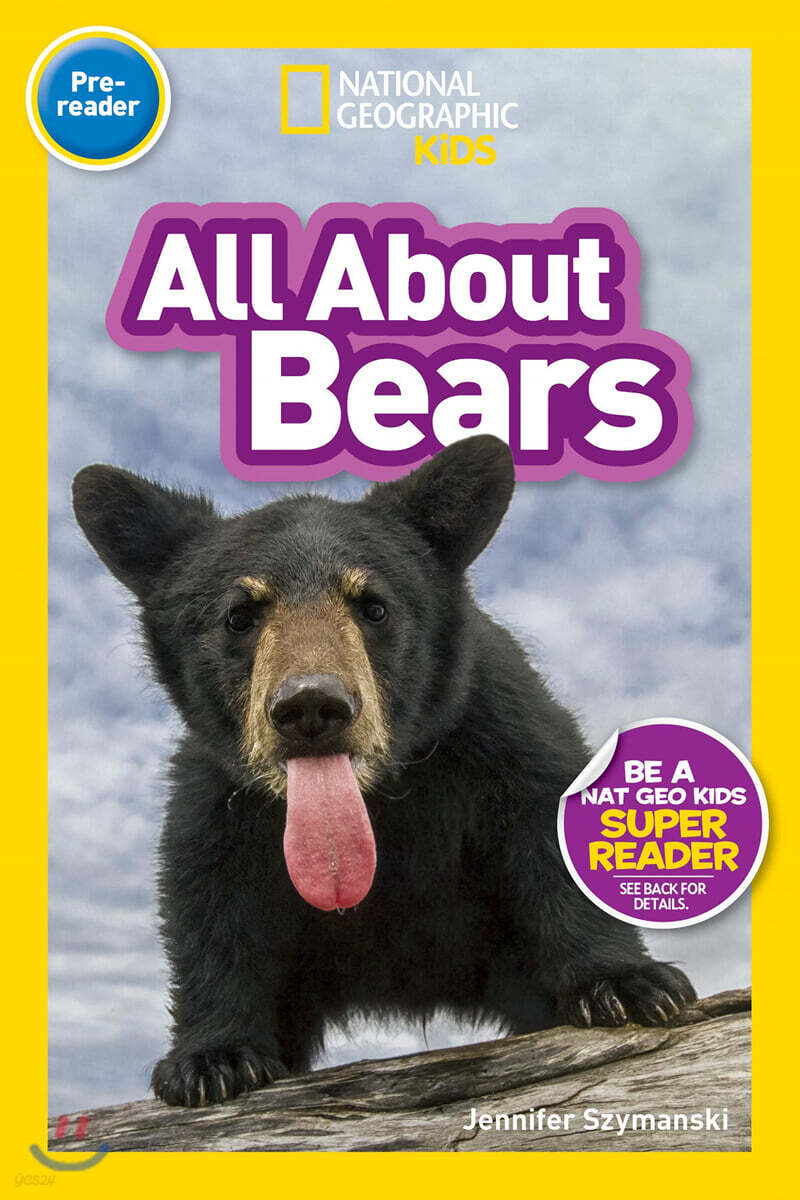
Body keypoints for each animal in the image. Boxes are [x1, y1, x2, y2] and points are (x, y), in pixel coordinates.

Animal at [71, 434, 695, 1108]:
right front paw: (211, 1060)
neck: (379, 798)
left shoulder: (497, 724)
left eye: (374, 607)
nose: (311, 706)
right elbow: (209, 893)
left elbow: (547, 821)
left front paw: (631, 985)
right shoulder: (218, 790)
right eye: (240, 615)